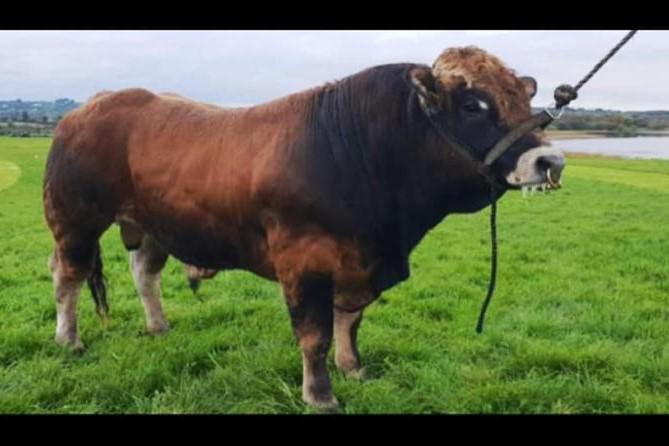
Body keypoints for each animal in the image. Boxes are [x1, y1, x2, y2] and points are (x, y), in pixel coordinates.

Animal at [43, 46, 565, 411]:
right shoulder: (304, 263)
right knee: (68, 276)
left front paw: (353, 368)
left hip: (154, 225)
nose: (551, 161)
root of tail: (89, 106)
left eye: (526, 102)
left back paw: (158, 326)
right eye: (474, 105)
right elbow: (314, 334)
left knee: (143, 273)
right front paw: (320, 395)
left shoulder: (359, 263)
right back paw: (69, 340)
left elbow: (349, 321)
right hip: (75, 220)